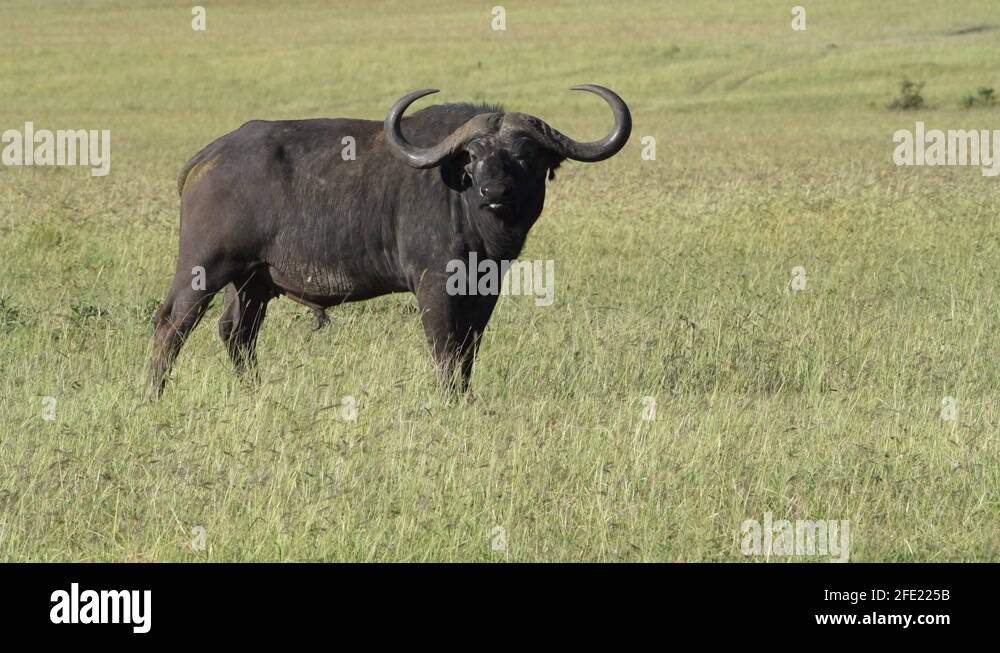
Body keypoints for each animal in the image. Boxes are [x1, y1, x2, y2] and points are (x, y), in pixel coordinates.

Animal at [149, 85, 631, 396]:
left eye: (525, 154)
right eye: (473, 155)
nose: (494, 191)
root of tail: (208, 157)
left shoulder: (485, 289)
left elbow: (469, 349)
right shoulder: (435, 286)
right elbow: (445, 346)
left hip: (252, 282)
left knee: (236, 333)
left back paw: (254, 390)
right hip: (205, 268)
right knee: (171, 324)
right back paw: (155, 392)